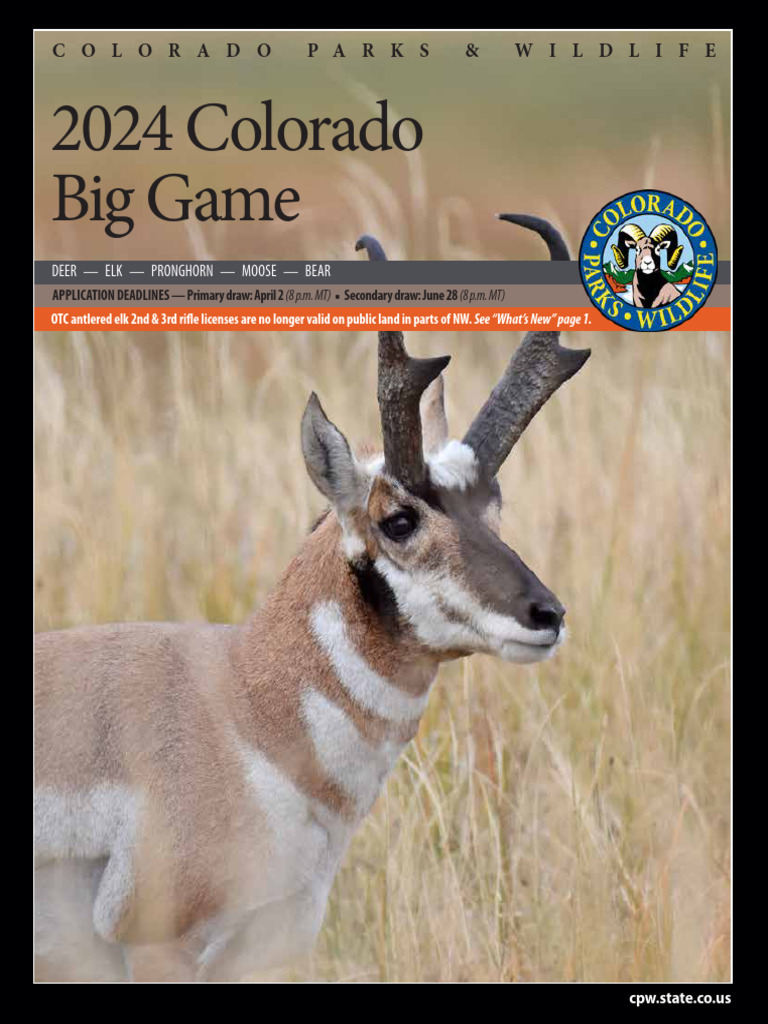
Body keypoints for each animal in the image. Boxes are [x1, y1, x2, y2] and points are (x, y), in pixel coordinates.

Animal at [34, 214, 591, 983]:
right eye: (398, 519)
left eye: (493, 503)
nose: (547, 615)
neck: (243, 699)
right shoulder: (158, 946)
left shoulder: (267, 943)